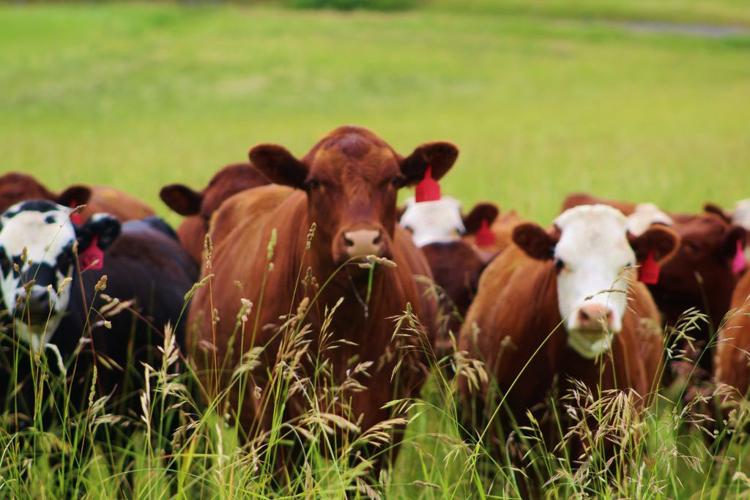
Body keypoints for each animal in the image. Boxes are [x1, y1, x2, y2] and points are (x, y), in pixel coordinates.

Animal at [188, 126, 456, 473]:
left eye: (394, 180)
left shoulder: (384, 427)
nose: (362, 240)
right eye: (315, 182)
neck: (345, 321)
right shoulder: (277, 423)